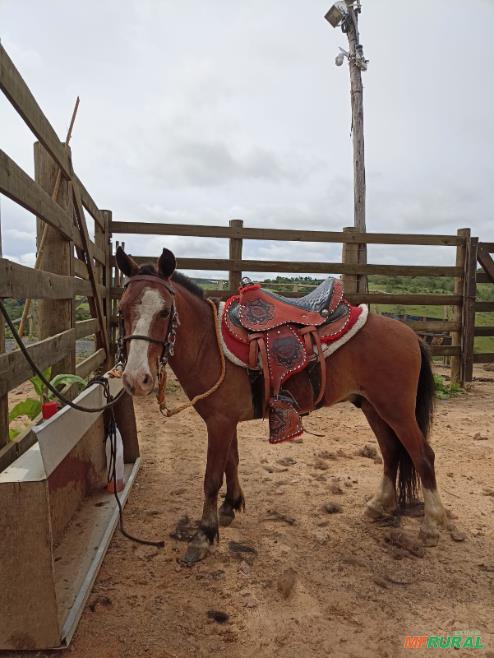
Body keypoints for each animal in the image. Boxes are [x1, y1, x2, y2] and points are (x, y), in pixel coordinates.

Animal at [115, 246, 447, 564]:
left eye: (165, 311)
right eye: (121, 310)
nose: (136, 379)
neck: (210, 346)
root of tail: (411, 335)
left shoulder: (219, 422)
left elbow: (211, 478)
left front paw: (204, 536)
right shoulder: (227, 421)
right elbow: (232, 462)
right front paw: (231, 506)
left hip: (397, 411)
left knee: (423, 456)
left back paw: (432, 524)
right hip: (372, 407)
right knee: (391, 452)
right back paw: (379, 505)